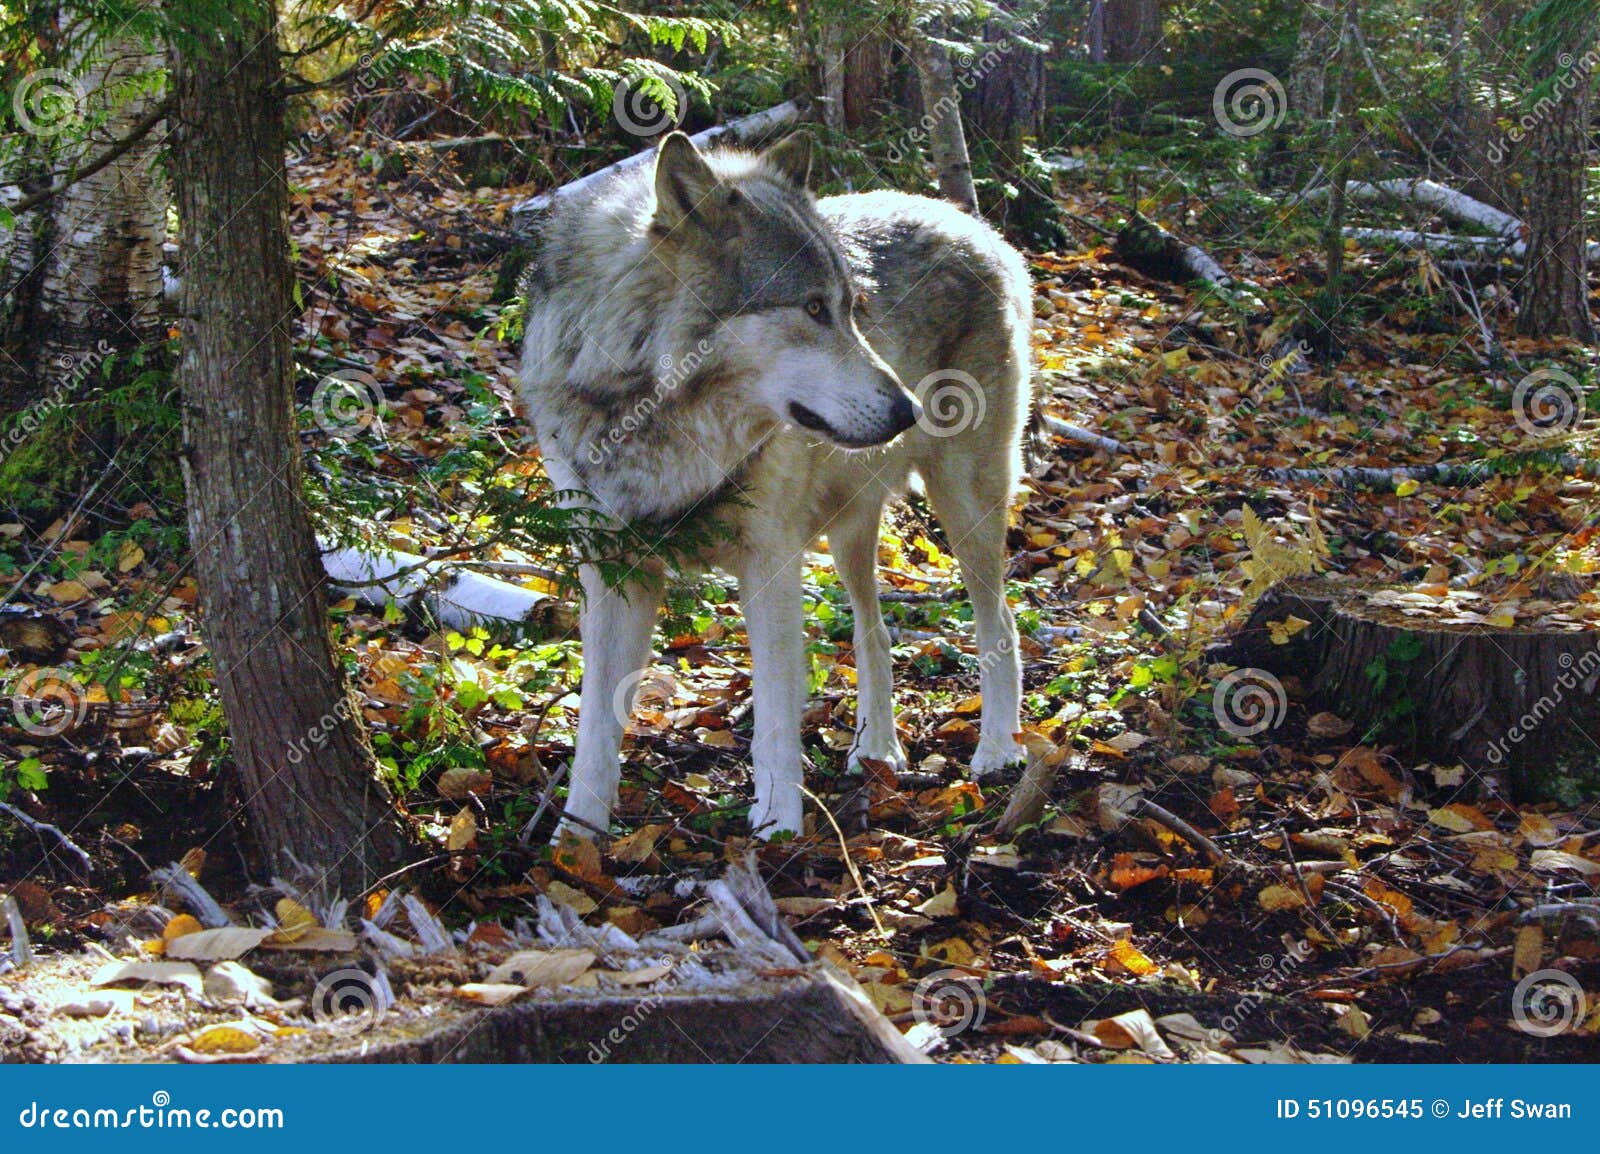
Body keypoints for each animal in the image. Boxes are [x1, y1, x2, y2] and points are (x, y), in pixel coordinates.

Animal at [518, 130, 1035, 838]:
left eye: (852, 308)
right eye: (814, 308)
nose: (909, 410)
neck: (653, 417)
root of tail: (976, 225)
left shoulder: (770, 564)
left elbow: (773, 716)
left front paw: (775, 826)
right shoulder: (615, 571)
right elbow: (596, 724)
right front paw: (578, 836)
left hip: (964, 502)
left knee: (999, 621)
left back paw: (997, 752)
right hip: (849, 534)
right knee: (874, 632)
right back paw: (878, 750)